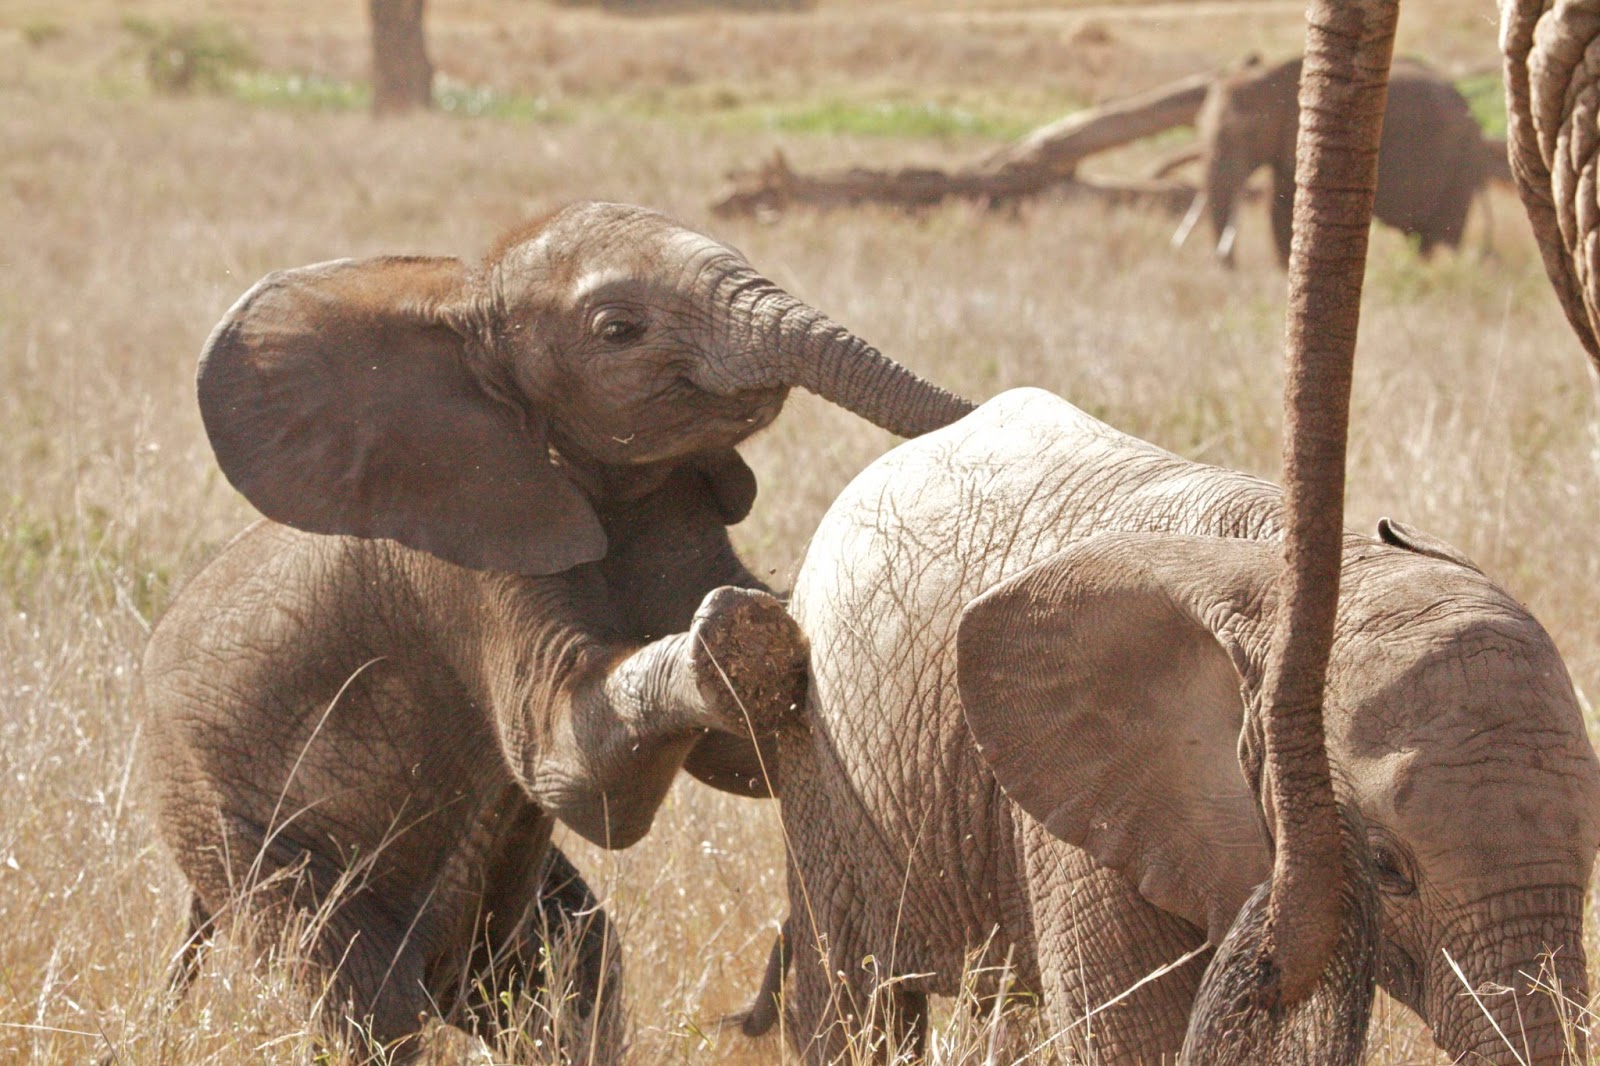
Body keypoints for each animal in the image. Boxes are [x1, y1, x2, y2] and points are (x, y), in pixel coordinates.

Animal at [139, 200, 972, 1061]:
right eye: (618, 330)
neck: (467, 307)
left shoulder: (662, 497)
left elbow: (736, 759)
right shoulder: (468, 554)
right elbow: (567, 764)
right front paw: (740, 633)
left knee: (570, 968)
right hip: (227, 825)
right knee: (368, 1005)